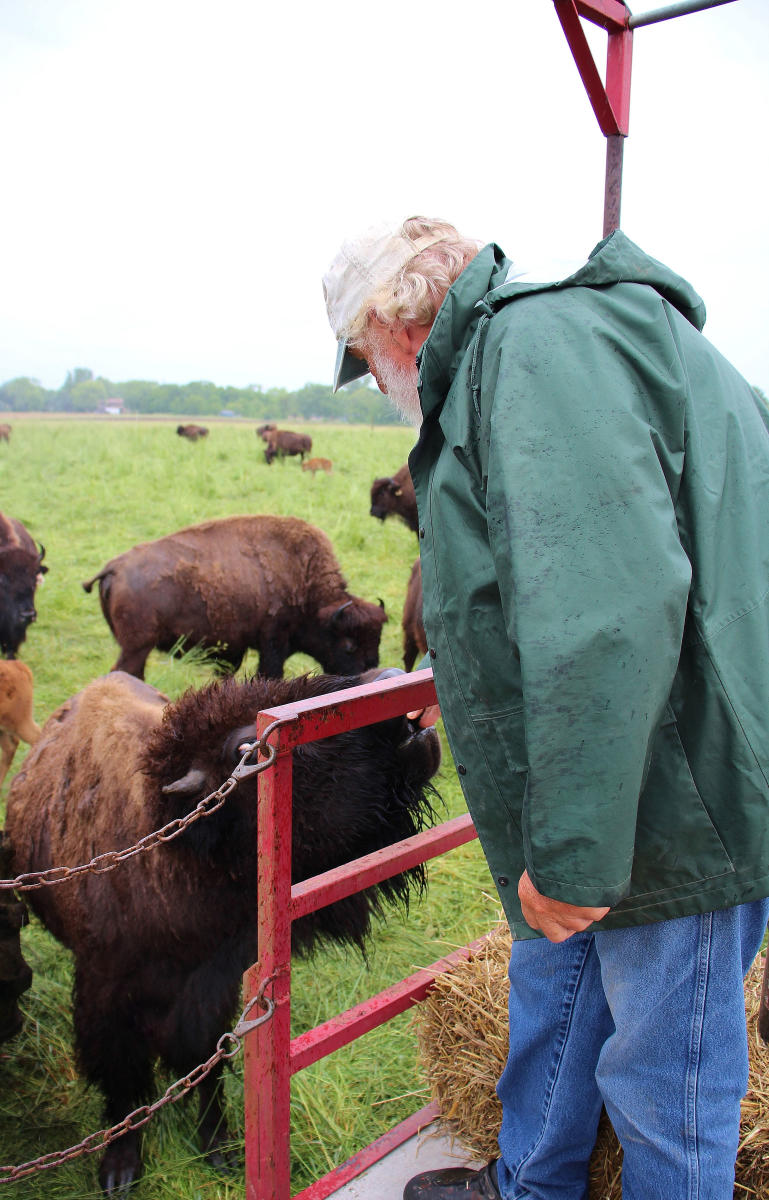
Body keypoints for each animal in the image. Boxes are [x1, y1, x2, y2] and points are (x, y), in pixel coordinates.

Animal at [5, 667, 441, 1193]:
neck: (174, 851)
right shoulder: (106, 996)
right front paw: (120, 1168)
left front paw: (220, 1148)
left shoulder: (211, 992)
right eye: (245, 747)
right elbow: (124, 1082)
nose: (393, 681)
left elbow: (205, 1066)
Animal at [81, 514, 387, 680]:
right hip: (137, 647)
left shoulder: (233, 650)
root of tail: (115, 567)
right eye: (349, 645)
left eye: (377, 640)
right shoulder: (273, 642)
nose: (369, 671)